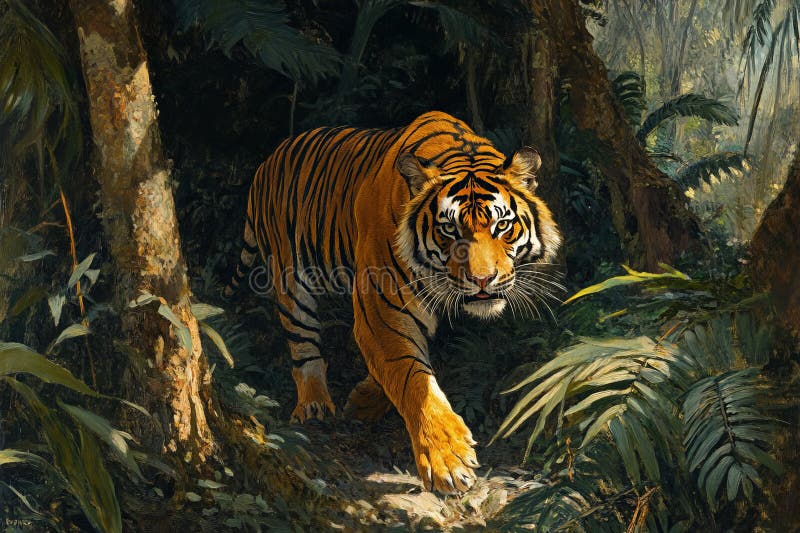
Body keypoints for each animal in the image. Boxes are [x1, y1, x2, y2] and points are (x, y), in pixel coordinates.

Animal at [225, 111, 561, 493]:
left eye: (502, 226)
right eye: (449, 230)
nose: (482, 280)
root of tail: (268, 159)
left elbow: (391, 369)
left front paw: (363, 401)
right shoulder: (382, 309)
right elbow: (412, 380)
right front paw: (447, 461)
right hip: (290, 275)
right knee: (303, 344)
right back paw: (314, 404)